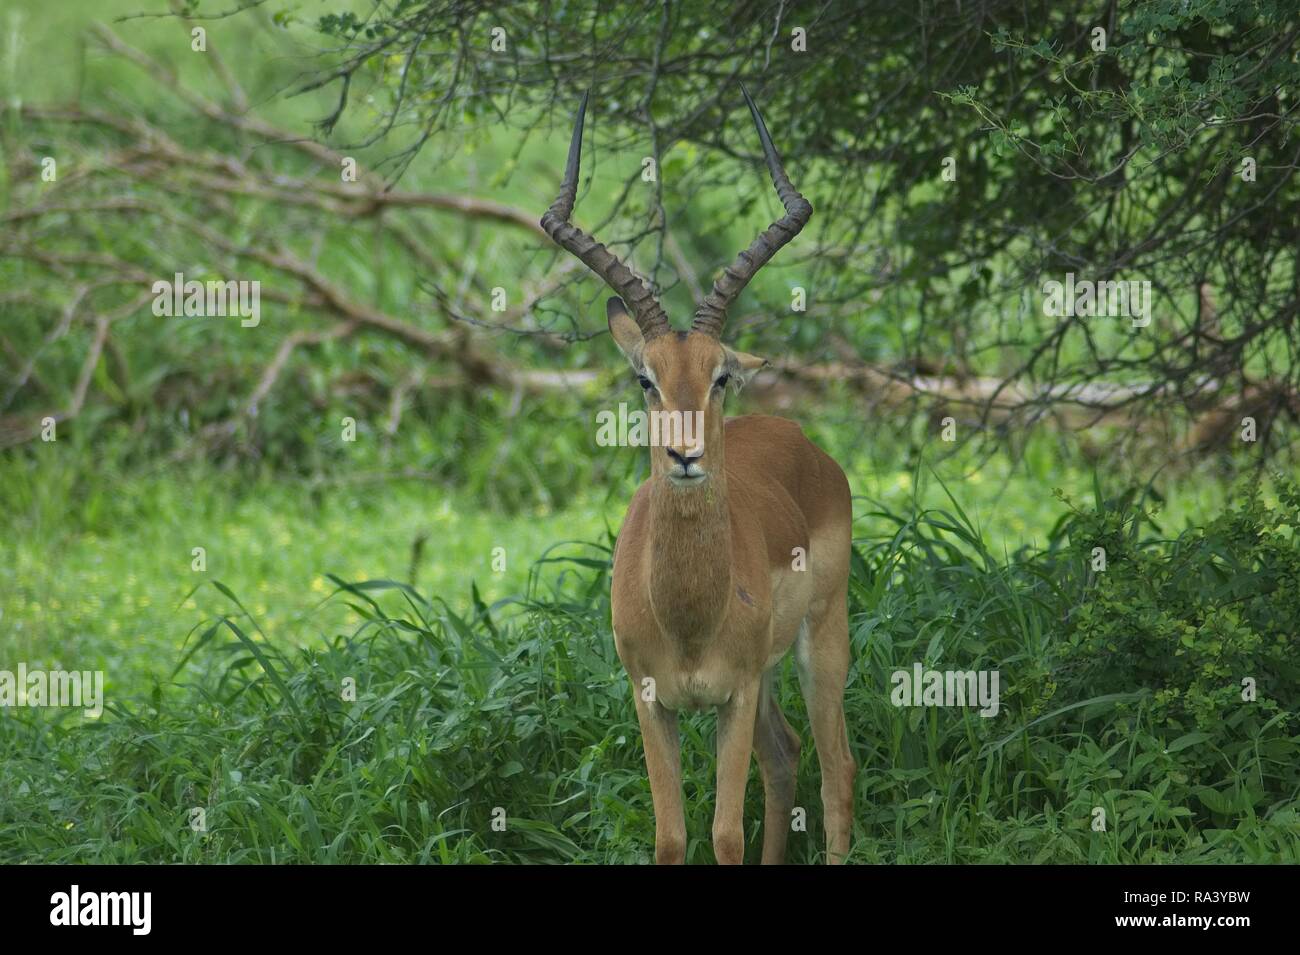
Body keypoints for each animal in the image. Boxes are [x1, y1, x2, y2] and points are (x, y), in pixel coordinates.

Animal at [541, 87, 855, 864]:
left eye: (720, 376)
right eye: (644, 378)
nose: (686, 456)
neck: (686, 615)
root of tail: (800, 440)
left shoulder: (731, 696)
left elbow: (724, 834)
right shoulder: (652, 701)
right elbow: (672, 837)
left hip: (820, 638)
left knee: (837, 769)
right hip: (770, 675)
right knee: (786, 752)